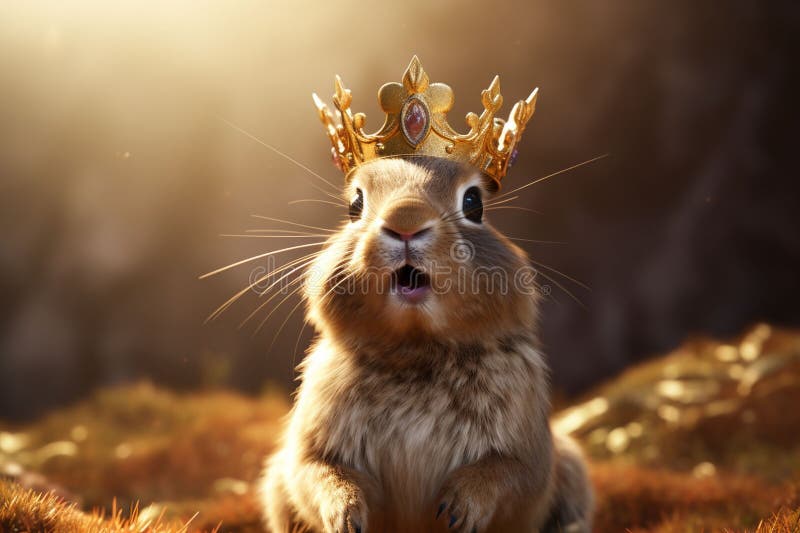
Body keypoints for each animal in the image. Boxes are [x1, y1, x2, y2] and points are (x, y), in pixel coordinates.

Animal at [258, 155, 593, 533]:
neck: (416, 346)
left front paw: (459, 510)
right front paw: (346, 517)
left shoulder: (526, 456)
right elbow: (322, 475)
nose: (405, 222)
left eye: (473, 202)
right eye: (355, 205)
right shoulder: (311, 452)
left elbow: (503, 474)